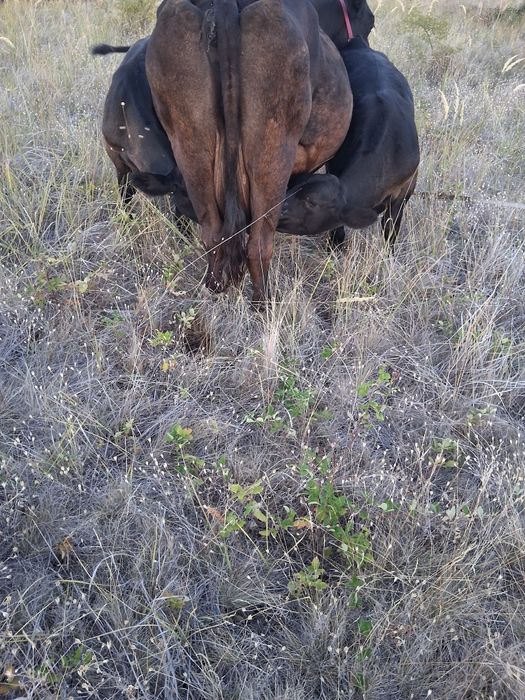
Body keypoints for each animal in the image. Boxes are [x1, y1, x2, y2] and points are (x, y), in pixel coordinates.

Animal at [145, 0, 366, 303]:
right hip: (272, 153)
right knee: (259, 245)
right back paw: (264, 303)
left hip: (189, 145)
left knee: (213, 234)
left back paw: (213, 286)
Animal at [278, 36, 420, 249]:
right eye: (293, 188)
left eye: (312, 202)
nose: (276, 211)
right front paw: (335, 243)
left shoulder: (404, 192)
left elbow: (390, 230)